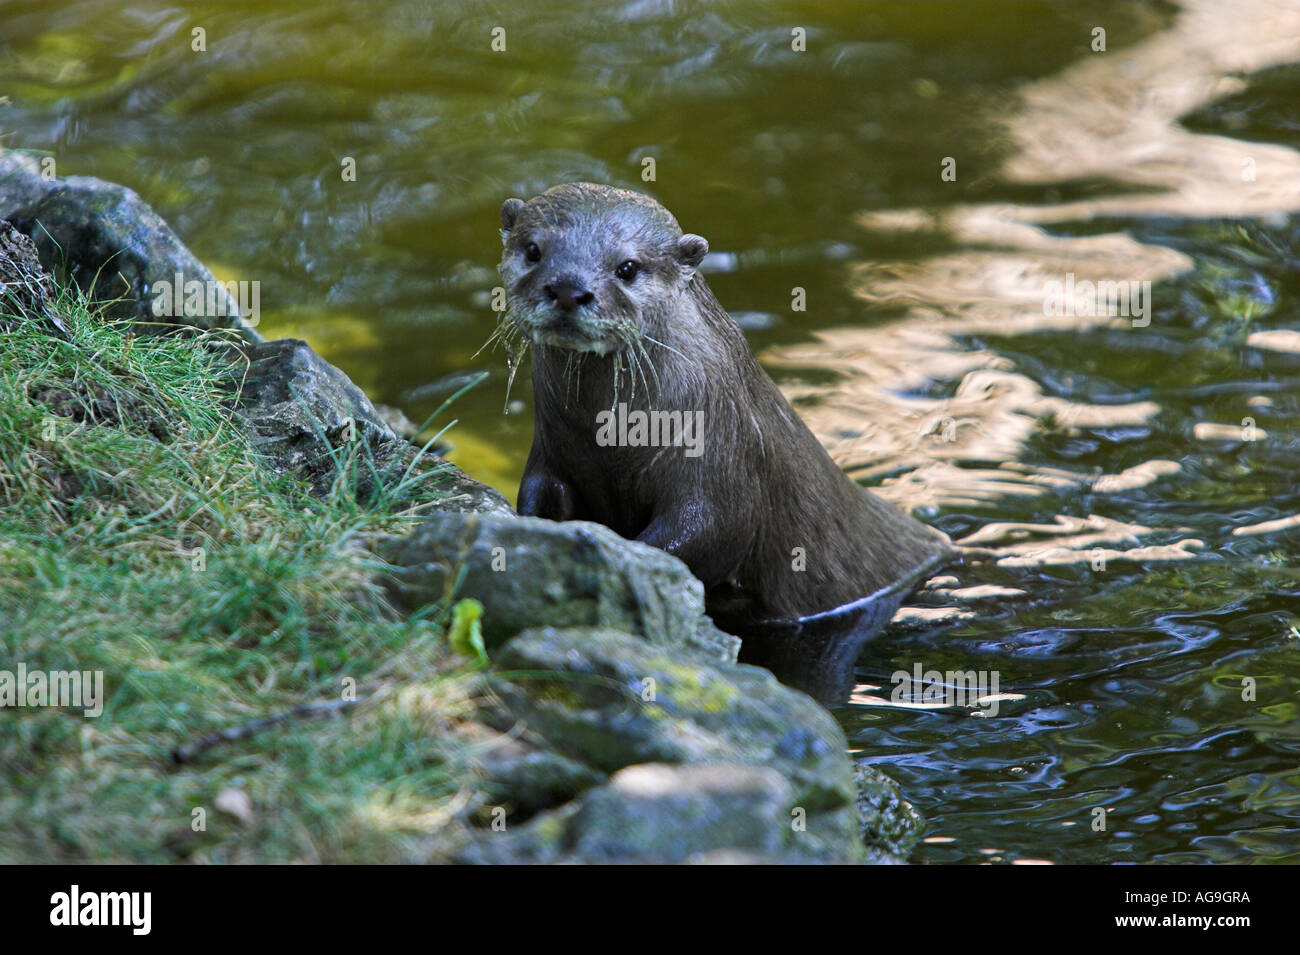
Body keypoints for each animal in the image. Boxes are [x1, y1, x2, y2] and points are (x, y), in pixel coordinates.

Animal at [496, 182, 952, 699]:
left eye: (627, 267)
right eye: (533, 250)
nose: (569, 289)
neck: (613, 439)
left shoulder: (720, 460)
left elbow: (710, 531)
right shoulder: (553, 454)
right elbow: (540, 497)